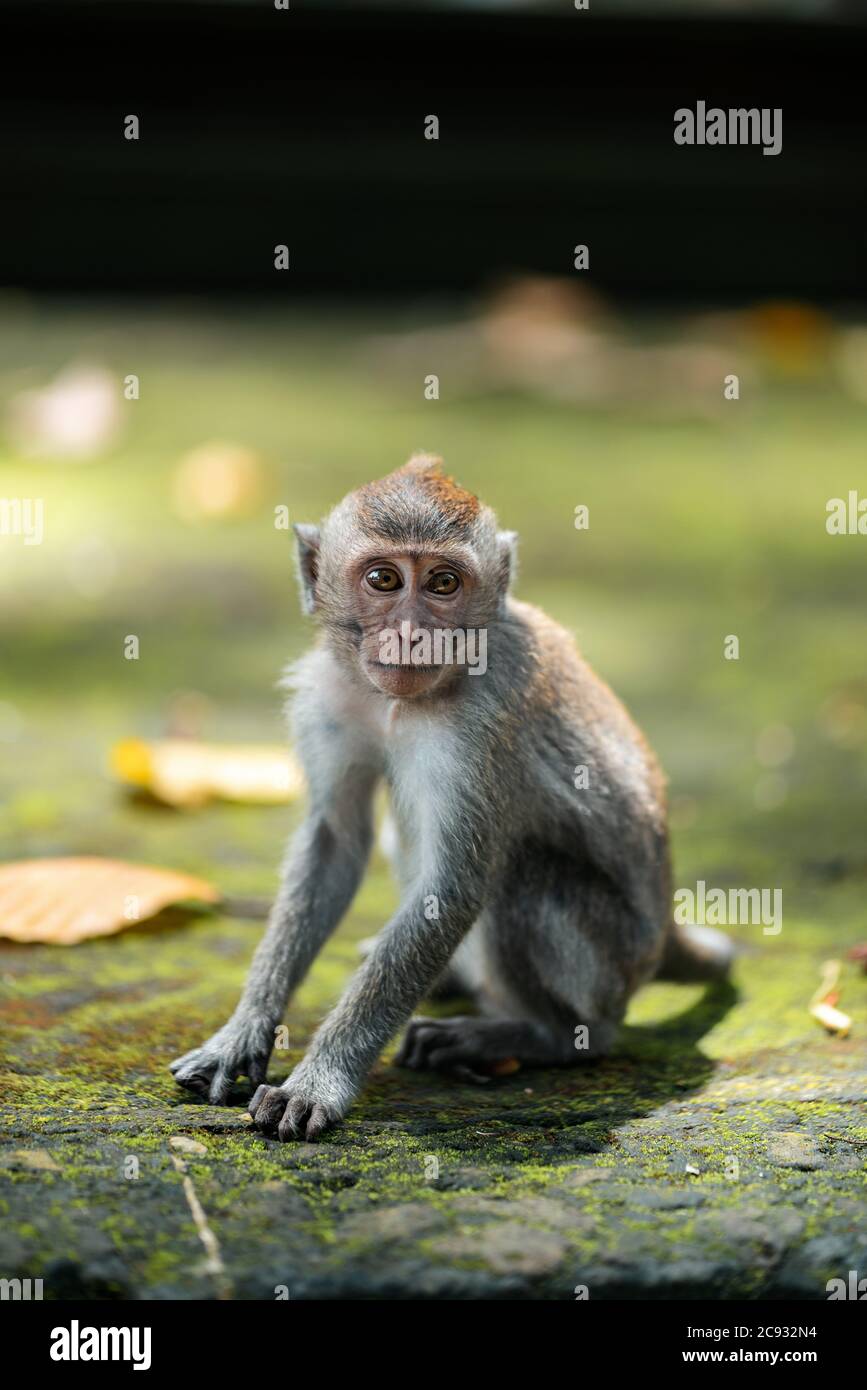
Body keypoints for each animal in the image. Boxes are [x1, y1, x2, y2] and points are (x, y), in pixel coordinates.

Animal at [170, 454, 733, 1140]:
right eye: (384, 579)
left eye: (443, 583)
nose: (413, 635)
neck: (402, 702)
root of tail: (664, 937)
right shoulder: (327, 695)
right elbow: (335, 840)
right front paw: (243, 1031)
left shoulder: (482, 725)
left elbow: (455, 888)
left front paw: (318, 1080)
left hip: (611, 960)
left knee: (525, 879)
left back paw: (540, 1035)